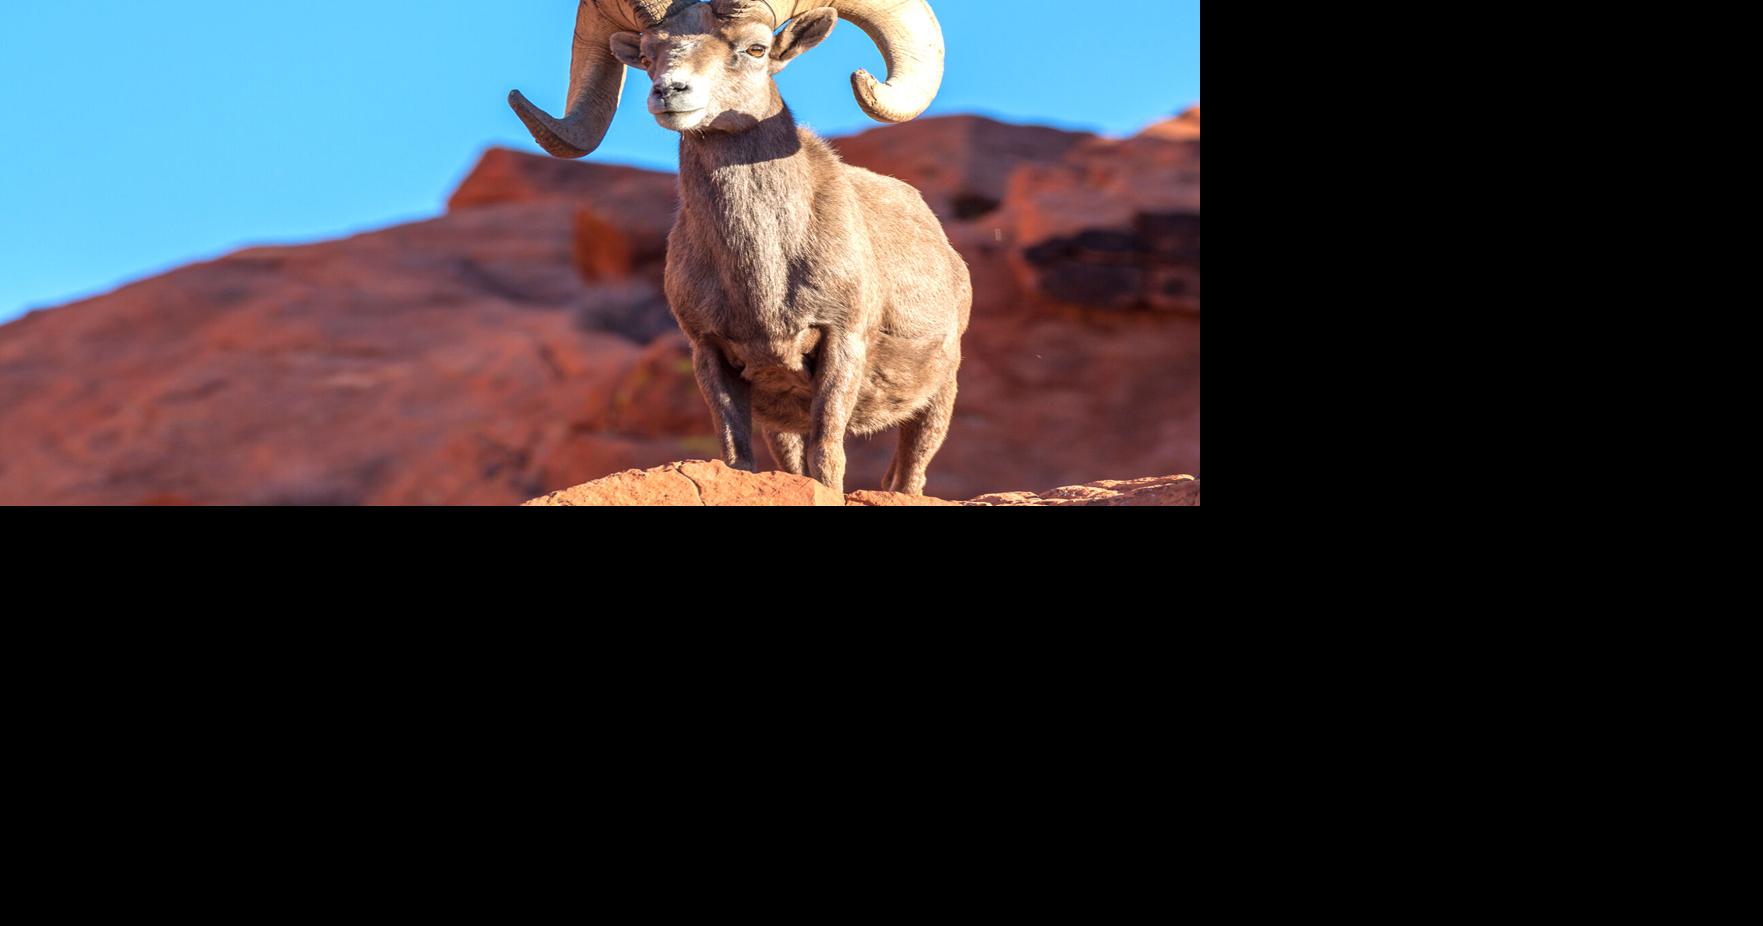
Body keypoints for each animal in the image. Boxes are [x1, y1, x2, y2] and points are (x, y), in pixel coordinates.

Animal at [509, 0, 971, 496]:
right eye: (649, 56)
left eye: (756, 48)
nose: (669, 91)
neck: (763, 276)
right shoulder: (713, 358)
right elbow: (738, 458)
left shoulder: (841, 344)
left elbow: (827, 456)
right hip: (784, 426)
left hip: (936, 402)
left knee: (909, 476)